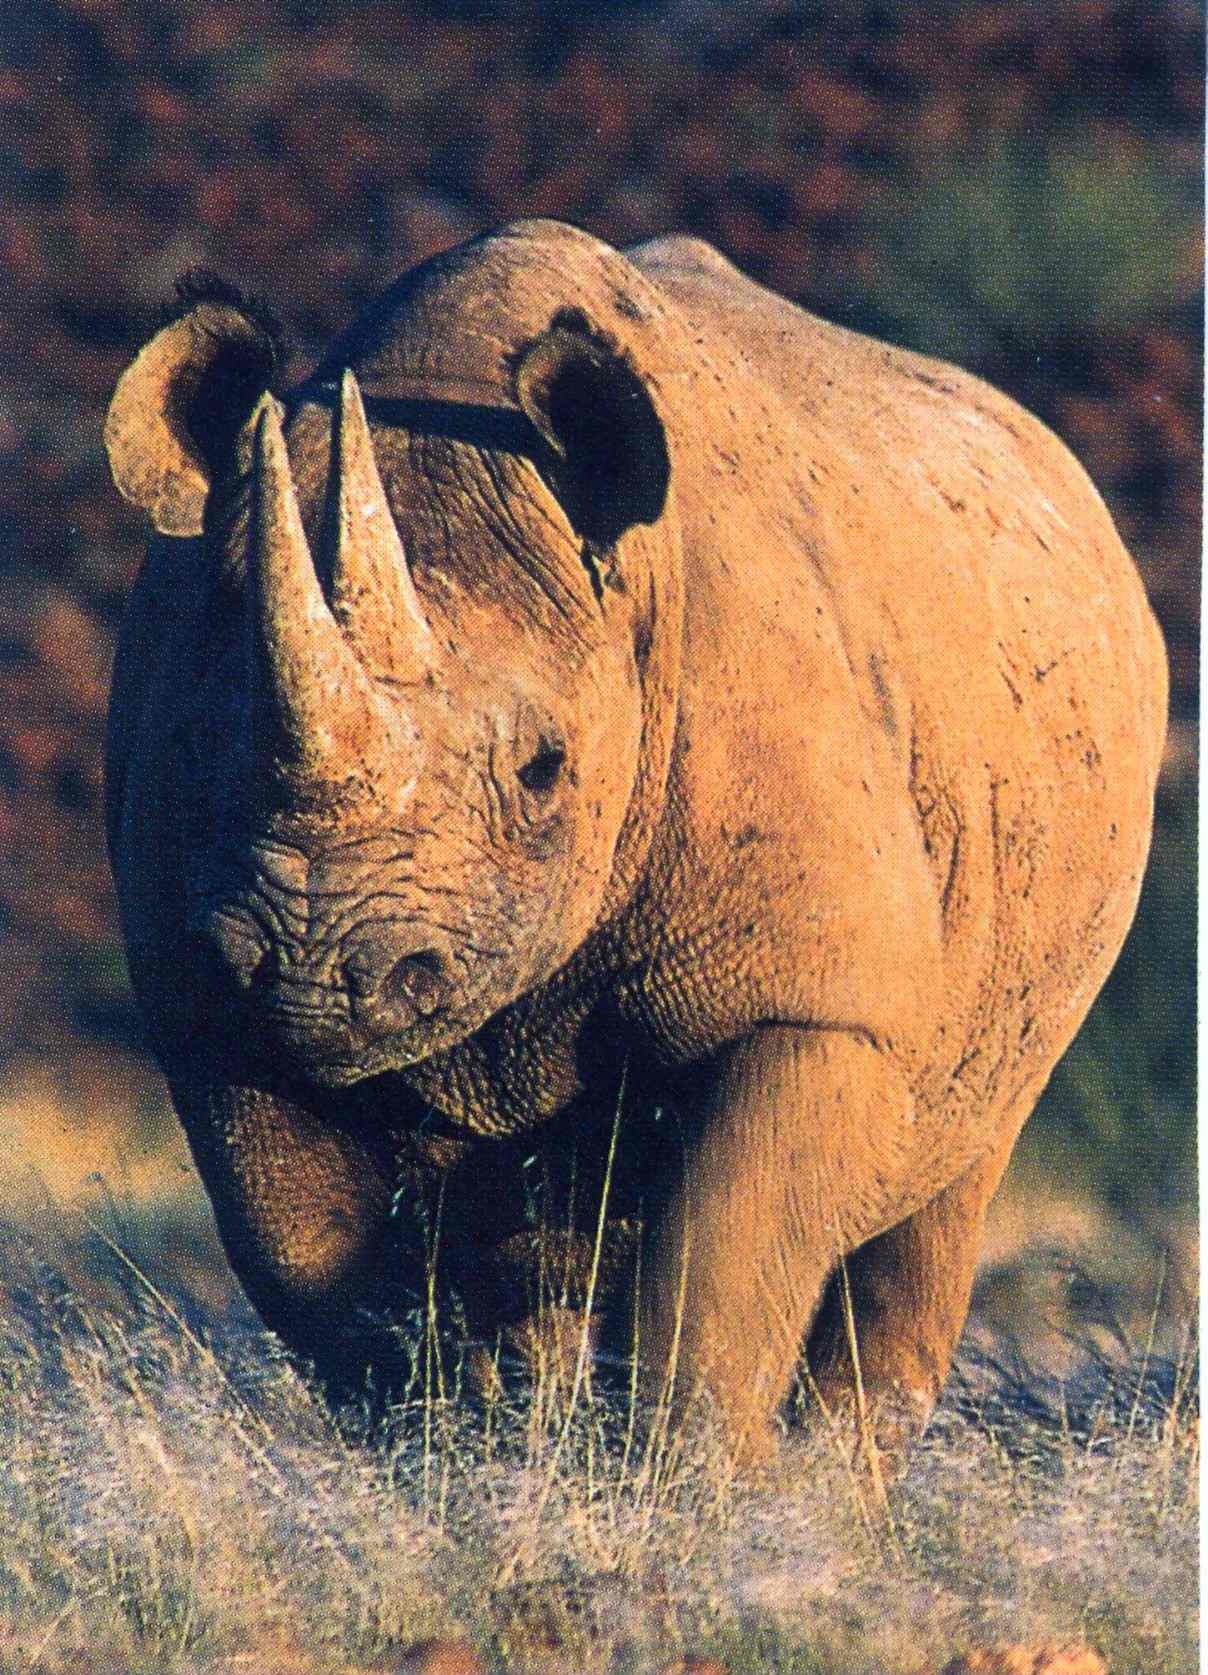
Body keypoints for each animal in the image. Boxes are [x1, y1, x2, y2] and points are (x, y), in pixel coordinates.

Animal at [103, 220, 1166, 1465]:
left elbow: (718, 1273)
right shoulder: (213, 1011)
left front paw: (688, 1488)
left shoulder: (808, 993)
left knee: (945, 1180)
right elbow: (328, 1283)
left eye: (543, 768)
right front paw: (459, 1468)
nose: (323, 971)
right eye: (201, 744)